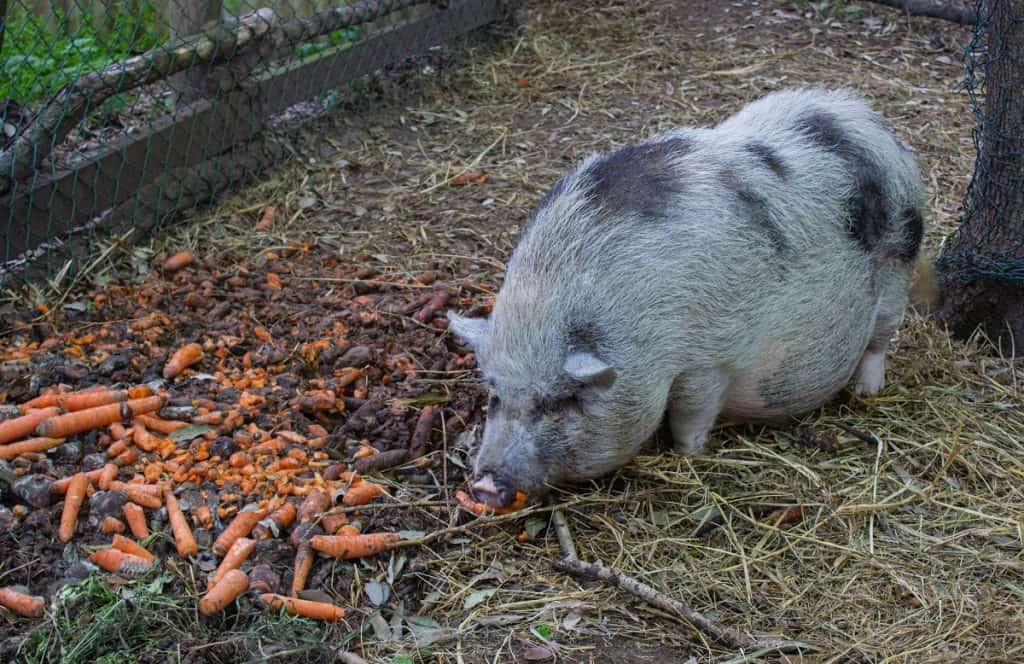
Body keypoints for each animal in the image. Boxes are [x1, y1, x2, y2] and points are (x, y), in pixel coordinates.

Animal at [447, 87, 925, 508]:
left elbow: (690, 416)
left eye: (562, 400)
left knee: (881, 337)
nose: (485, 486)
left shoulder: (709, 361)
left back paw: (866, 391)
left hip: (897, 268)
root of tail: (870, 119)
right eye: (495, 395)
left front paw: (690, 453)